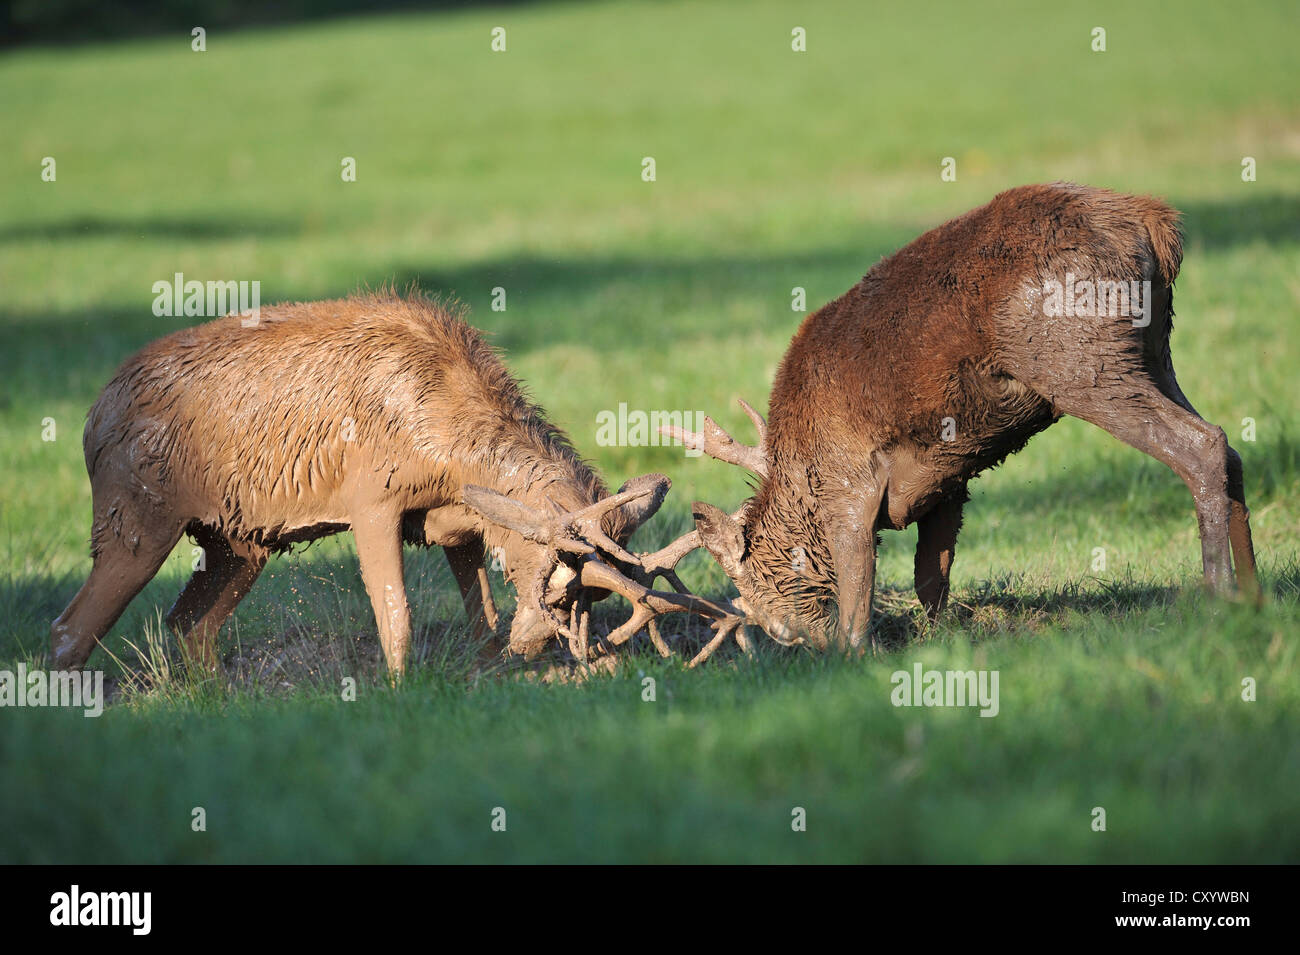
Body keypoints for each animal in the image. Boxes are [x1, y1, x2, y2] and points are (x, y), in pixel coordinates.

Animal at [51, 290, 743, 678]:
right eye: (557, 581)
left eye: (594, 598)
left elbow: (479, 613)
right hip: (136, 516)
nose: (534, 647)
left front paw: (490, 671)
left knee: (188, 625)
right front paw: (398, 688)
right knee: (69, 628)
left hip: (237, 542)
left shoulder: (455, 523)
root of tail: (91, 418)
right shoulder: (370, 500)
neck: (446, 448)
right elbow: (397, 614)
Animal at [663, 183, 1261, 652]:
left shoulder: (849, 483)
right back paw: (1256, 597)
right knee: (1229, 446)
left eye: (744, 578)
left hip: (1081, 361)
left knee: (1201, 447)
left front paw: (852, 656)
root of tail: (1158, 229)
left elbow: (858, 595)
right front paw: (938, 641)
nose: (780, 633)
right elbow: (932, 577)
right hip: (1154, 352)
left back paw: (1219, 599)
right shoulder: (947, 477)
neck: (799, 471)